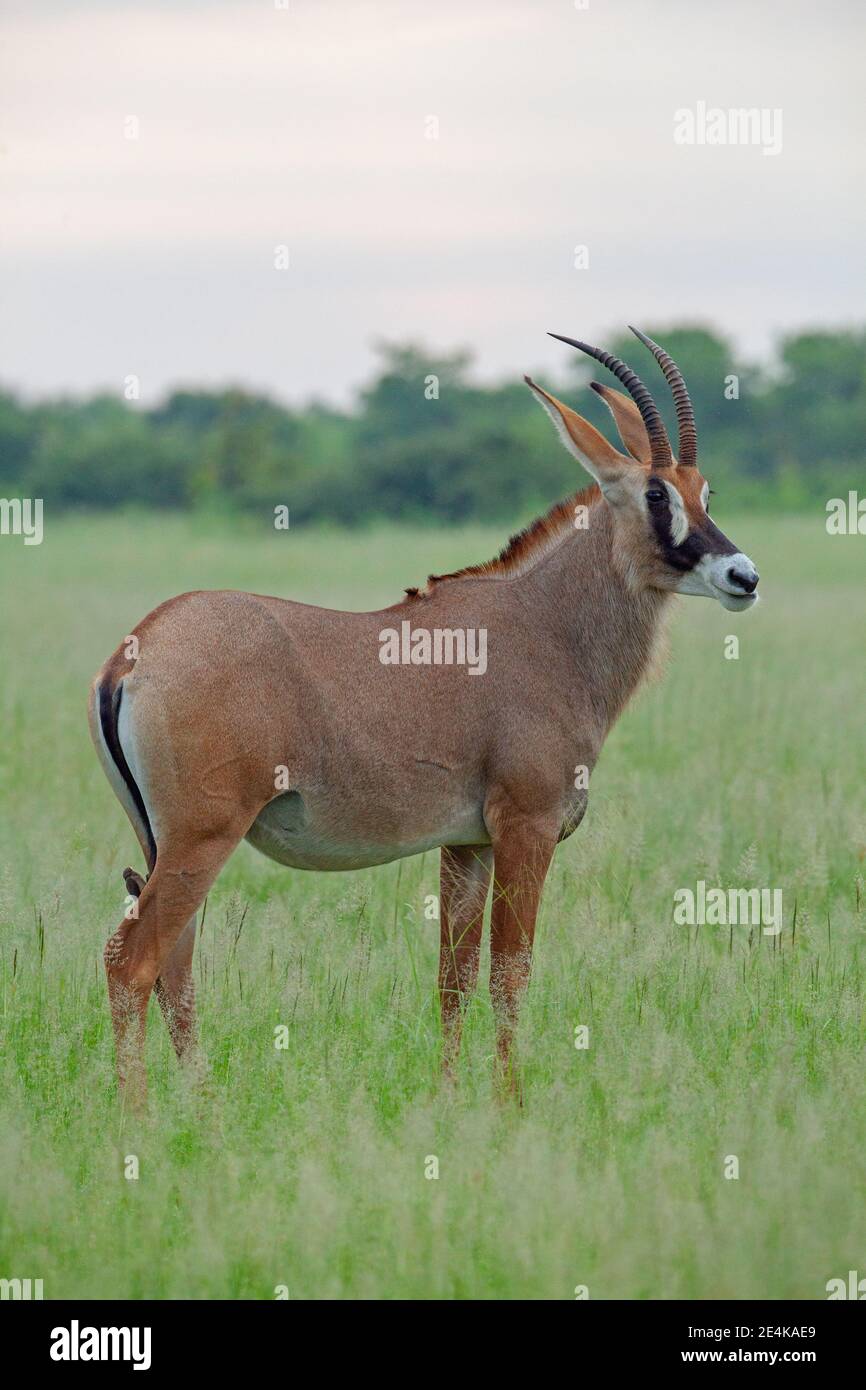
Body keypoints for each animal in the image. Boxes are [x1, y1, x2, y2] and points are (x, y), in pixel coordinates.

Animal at [89, 329, 759, 1101]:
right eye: (654, 492)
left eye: (704, 491)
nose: (743, 576)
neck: (545, 623)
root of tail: (133, 656)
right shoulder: (525, 828)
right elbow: (509, 976)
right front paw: (509, 1103)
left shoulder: (466, 844)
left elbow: (453, 981)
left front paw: (448, 1099)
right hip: (202, 837)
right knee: (133, 959)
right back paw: (139, 1114)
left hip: (163, 843)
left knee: (174, 966)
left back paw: (200, 1105)